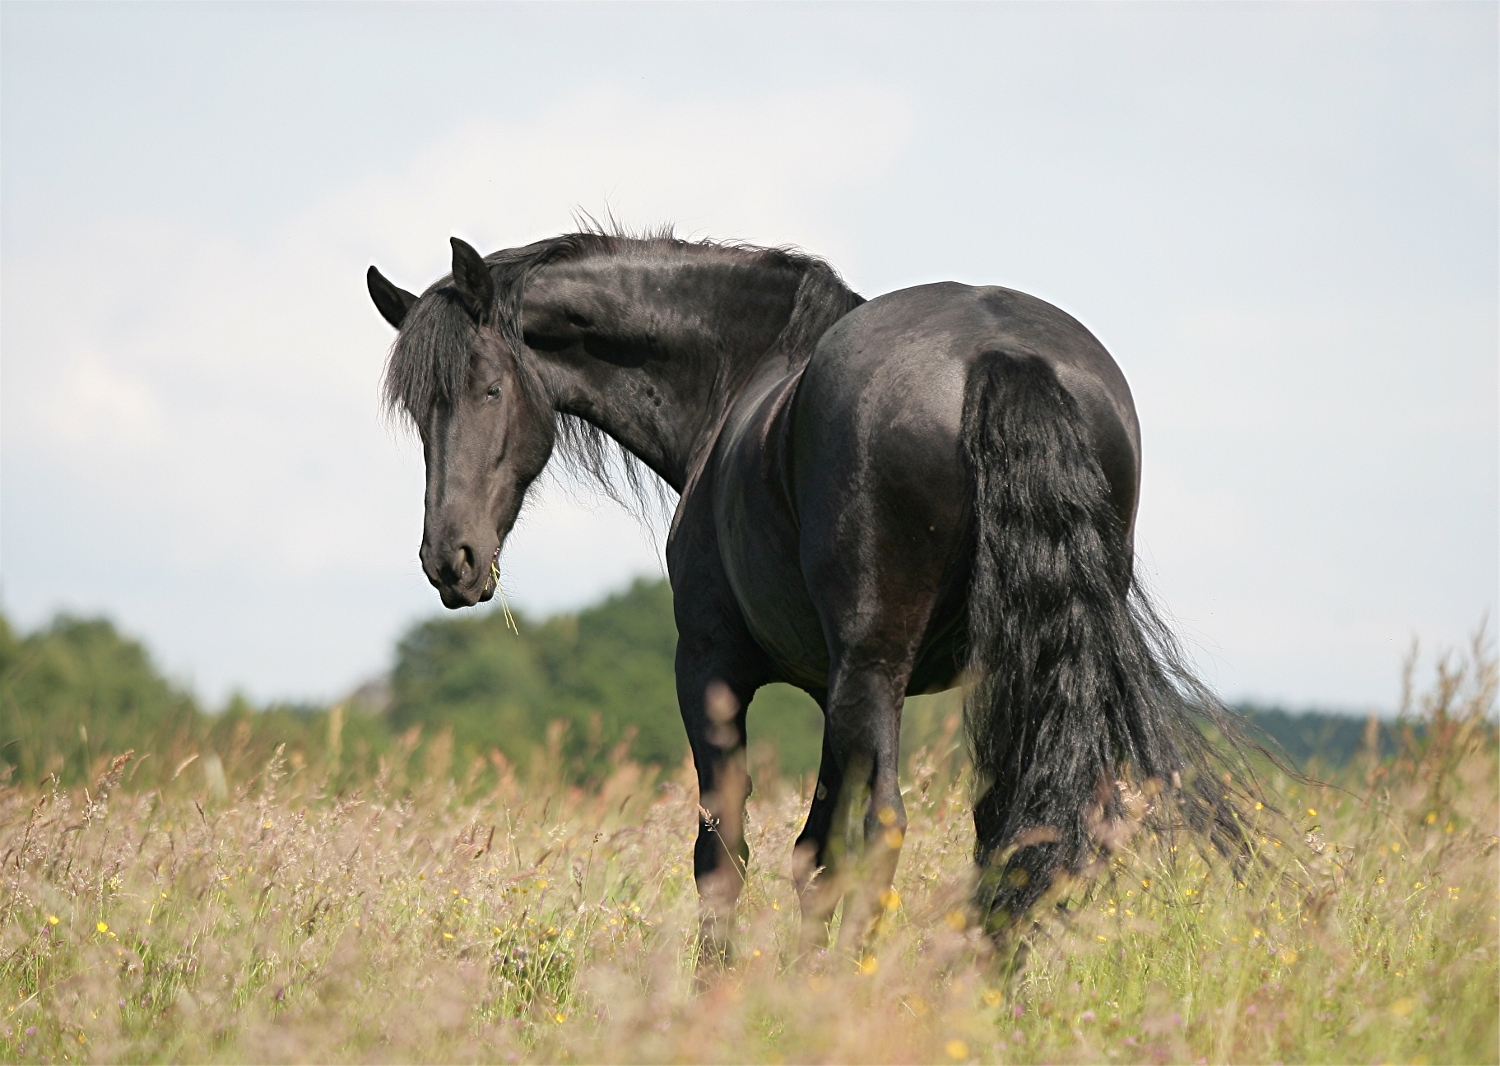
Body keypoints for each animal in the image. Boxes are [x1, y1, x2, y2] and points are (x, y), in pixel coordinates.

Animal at [367, 231, 1247, 958]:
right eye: (418, 410)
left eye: (487, 389)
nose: (450, 559)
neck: (744, 373)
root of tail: (1000, 353)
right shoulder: (834, 692)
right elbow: (814, 853)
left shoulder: (713, 670)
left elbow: (725, 852)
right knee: (1014, 830)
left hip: (876, 668)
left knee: (886, 830)